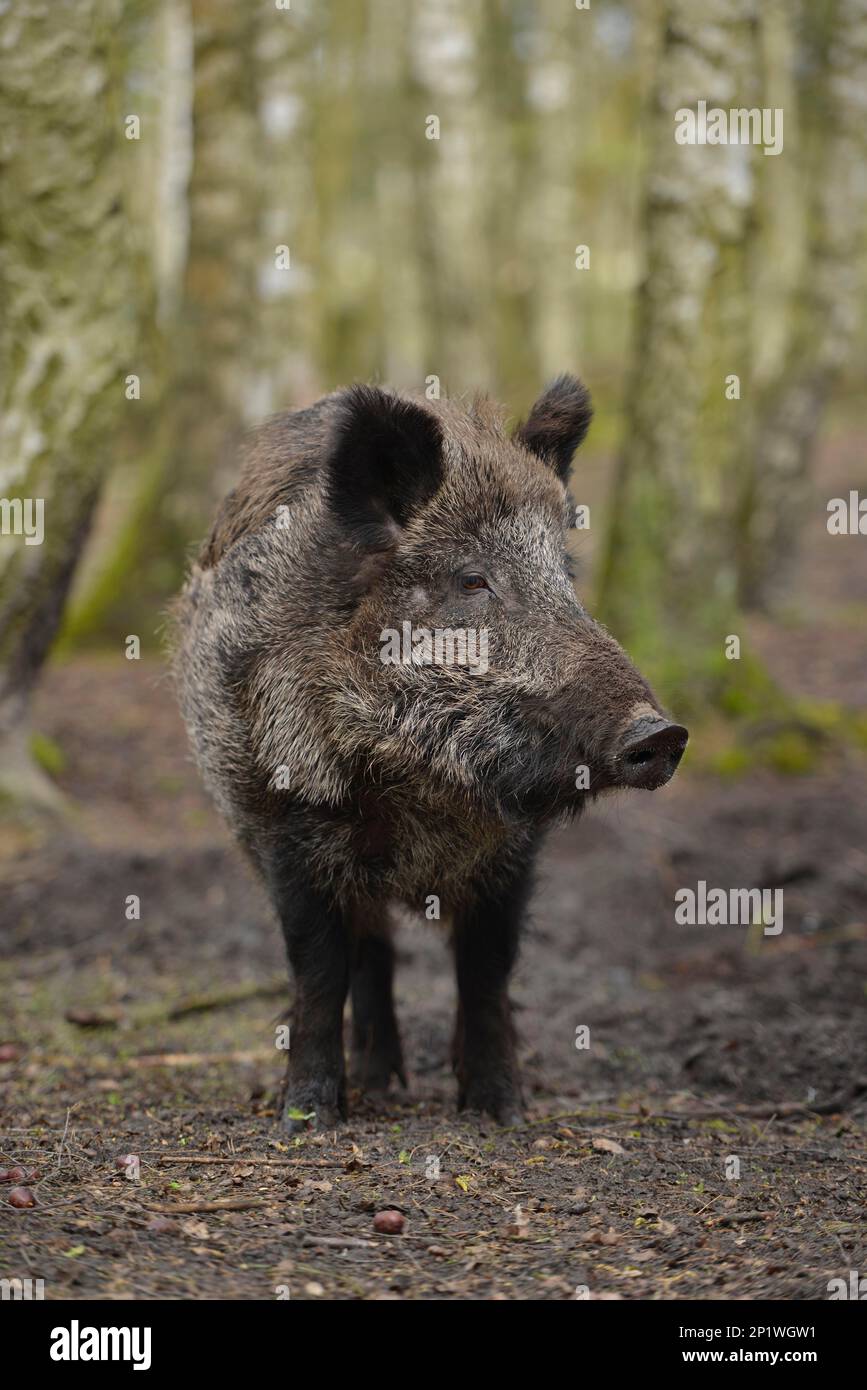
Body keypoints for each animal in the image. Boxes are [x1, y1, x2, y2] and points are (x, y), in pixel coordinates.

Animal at [171, 376, 687, 1129]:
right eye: (472, 580)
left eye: (565, 574)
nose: (660, 733)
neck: (419, 788)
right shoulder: (282, 821)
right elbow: (319, 968)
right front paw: (308, 1119)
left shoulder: (513, 853)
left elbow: (485, 969)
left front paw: (503, 1112)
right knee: (372, 951)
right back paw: (380, 1084)